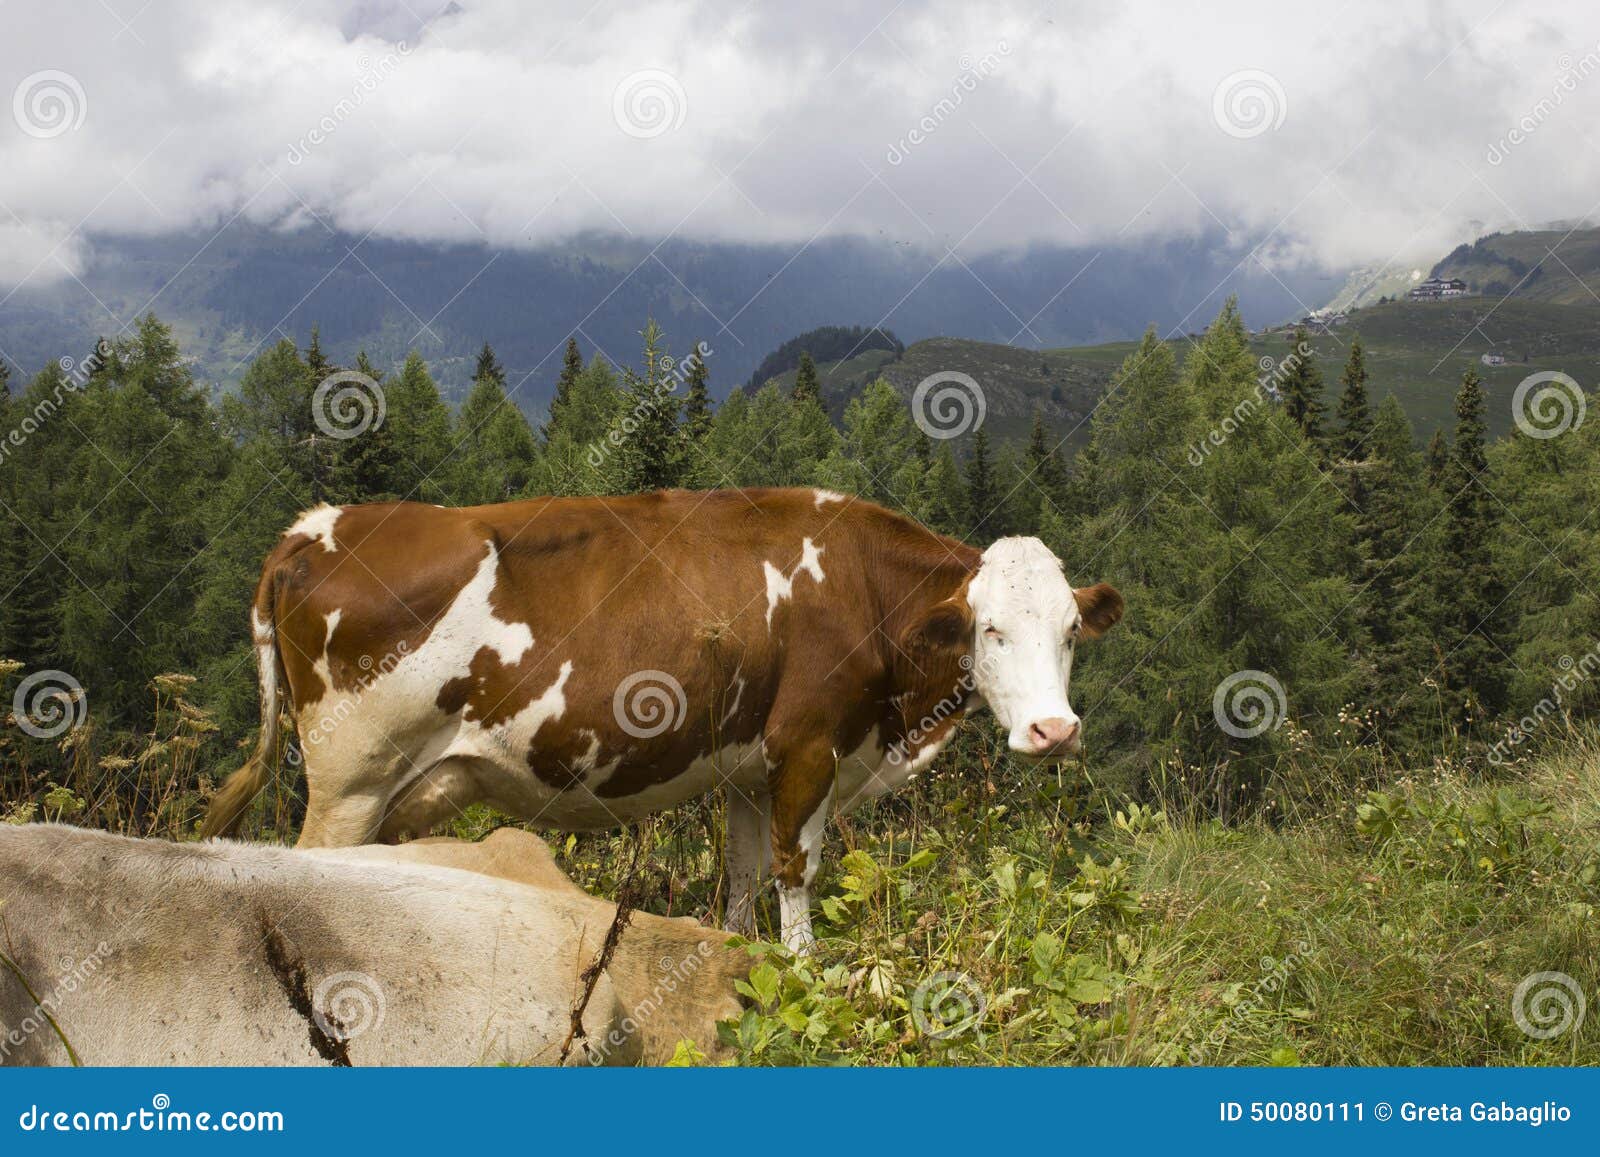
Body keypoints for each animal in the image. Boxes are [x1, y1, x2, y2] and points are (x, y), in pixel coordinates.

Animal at [200, 487, 1123, 950]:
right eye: (989, 629)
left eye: (1071, 631)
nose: (1053, 731)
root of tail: (319, 525)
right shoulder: (808, 743)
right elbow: (796, 868)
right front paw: (804, 966)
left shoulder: (751, 763)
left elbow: (744, 873)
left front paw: (745, 961)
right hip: (348, 778)